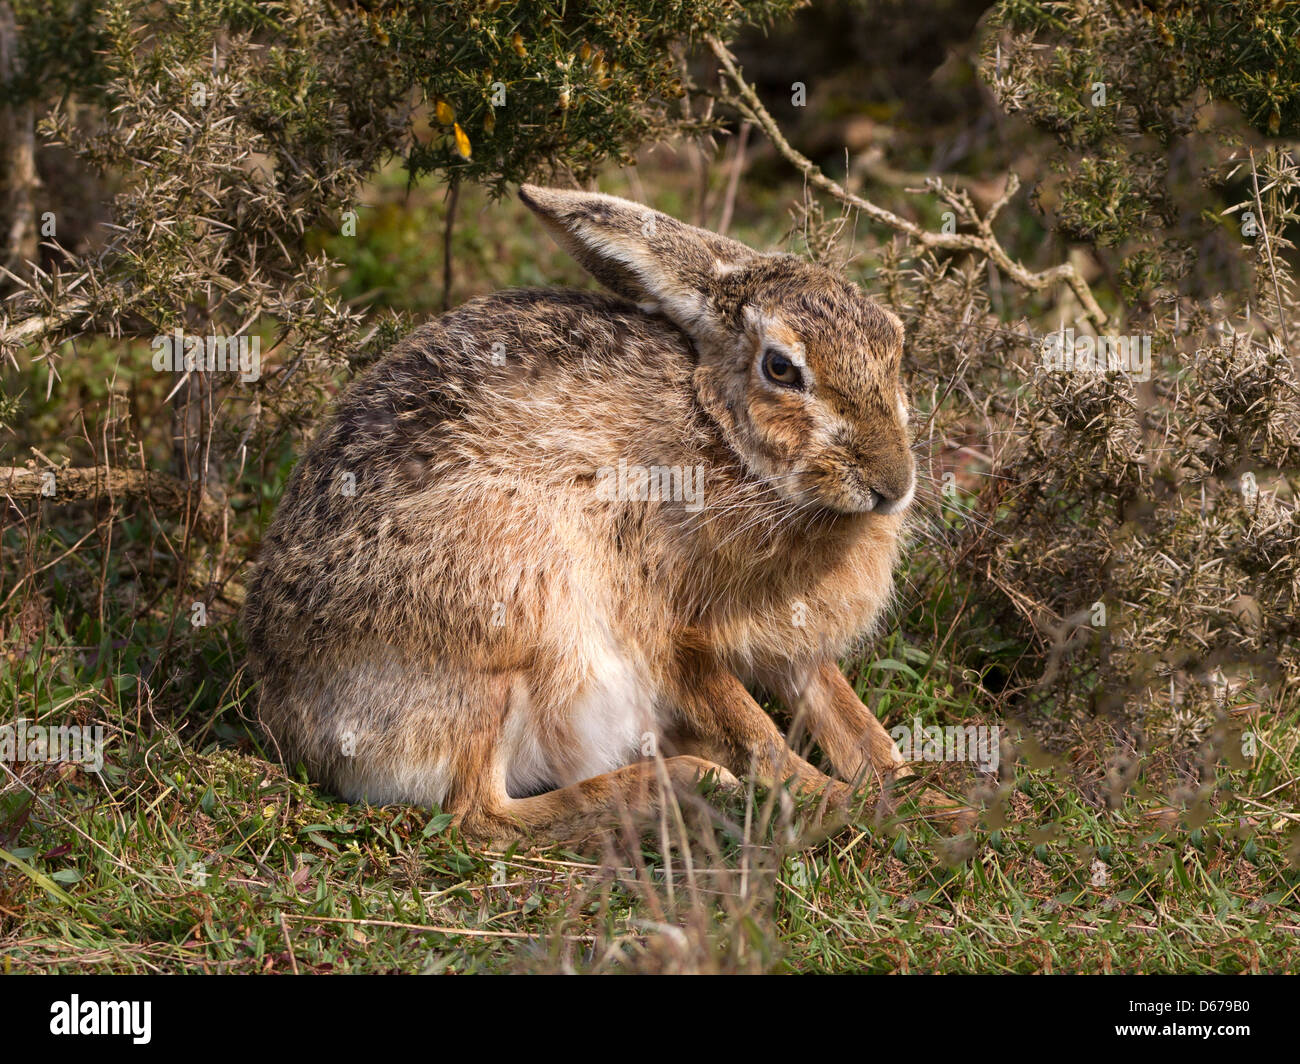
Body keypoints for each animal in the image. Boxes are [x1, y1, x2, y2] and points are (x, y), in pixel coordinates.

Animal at [242, 184, 919, 845]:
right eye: (780, 368)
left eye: (894, 343)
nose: (892, 485)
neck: (730, 443)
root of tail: (296, 724)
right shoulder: (673, 631)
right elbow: (756, 732)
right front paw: (839, 800)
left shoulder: (793, 645)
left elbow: (847, 716)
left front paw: (913, 792)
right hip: (506, 622)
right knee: (478, 816)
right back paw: (689, 781)